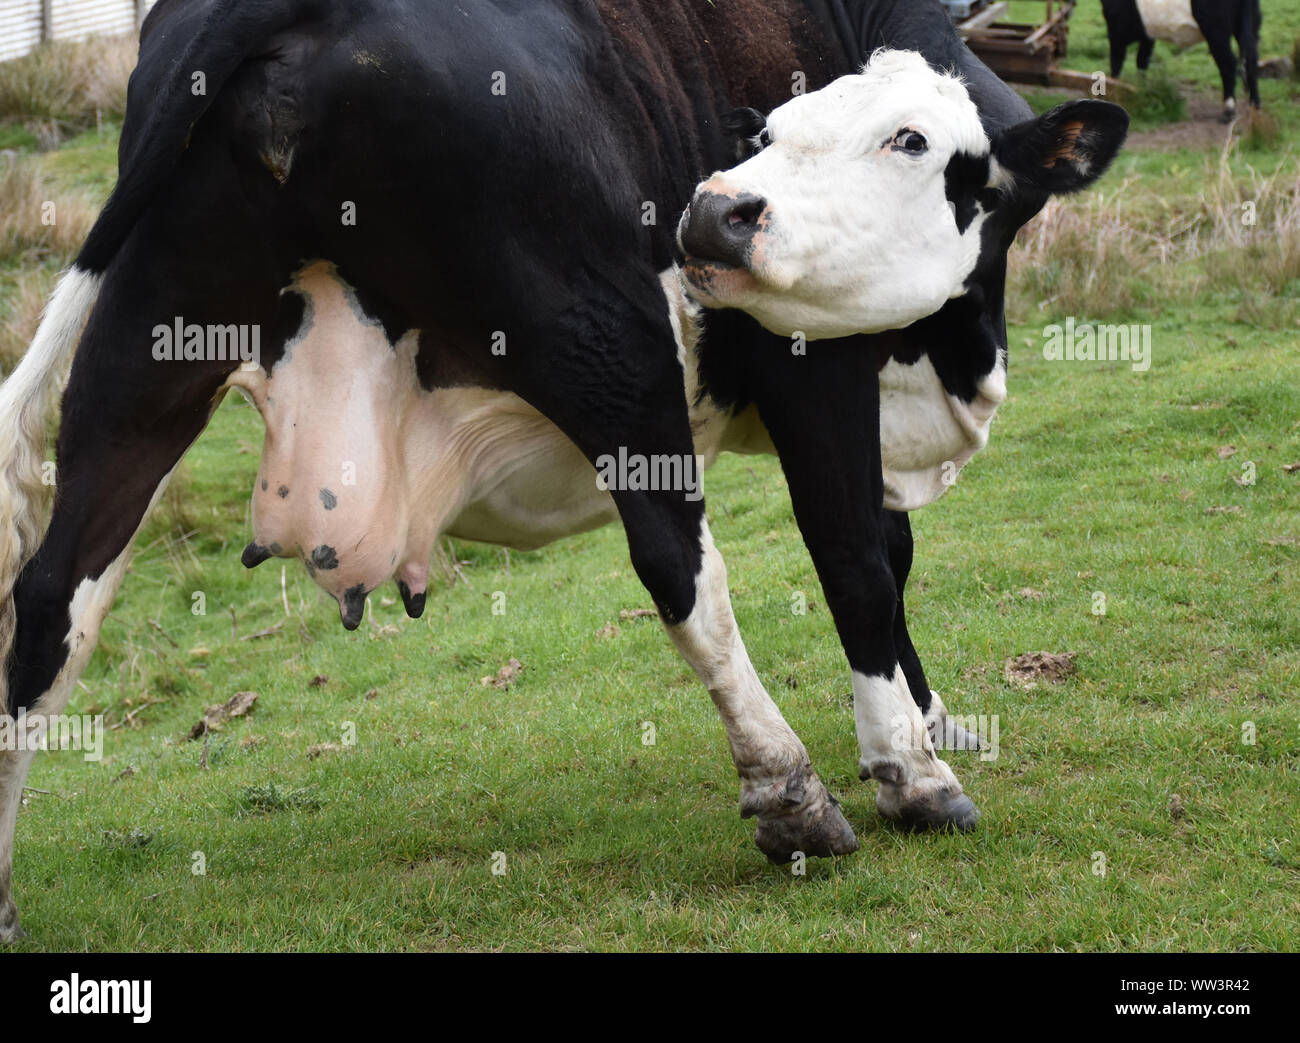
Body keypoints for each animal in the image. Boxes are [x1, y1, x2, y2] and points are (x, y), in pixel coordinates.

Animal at [0, 0, 1126, 942]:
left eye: (907, 138)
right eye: (771, 131)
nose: (713, 211)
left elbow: (890, 555)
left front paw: (926, 720)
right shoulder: (814, 359)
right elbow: (857, 559)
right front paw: (910, 770)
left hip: (147, 346)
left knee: (53, 605)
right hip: (611, 343)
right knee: (680, 567)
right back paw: (788, 790)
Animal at [1101, 0, 1262, 122]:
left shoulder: (1115, 25)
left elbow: (1117, 61)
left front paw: (1113, 90)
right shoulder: (1147, 34)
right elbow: (1142, 61)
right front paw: (1141, 89)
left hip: (1216, 29)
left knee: (1228, 63)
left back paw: (1228, 111)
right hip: (1249, 22)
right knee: (1251, 59)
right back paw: (1254, 105)